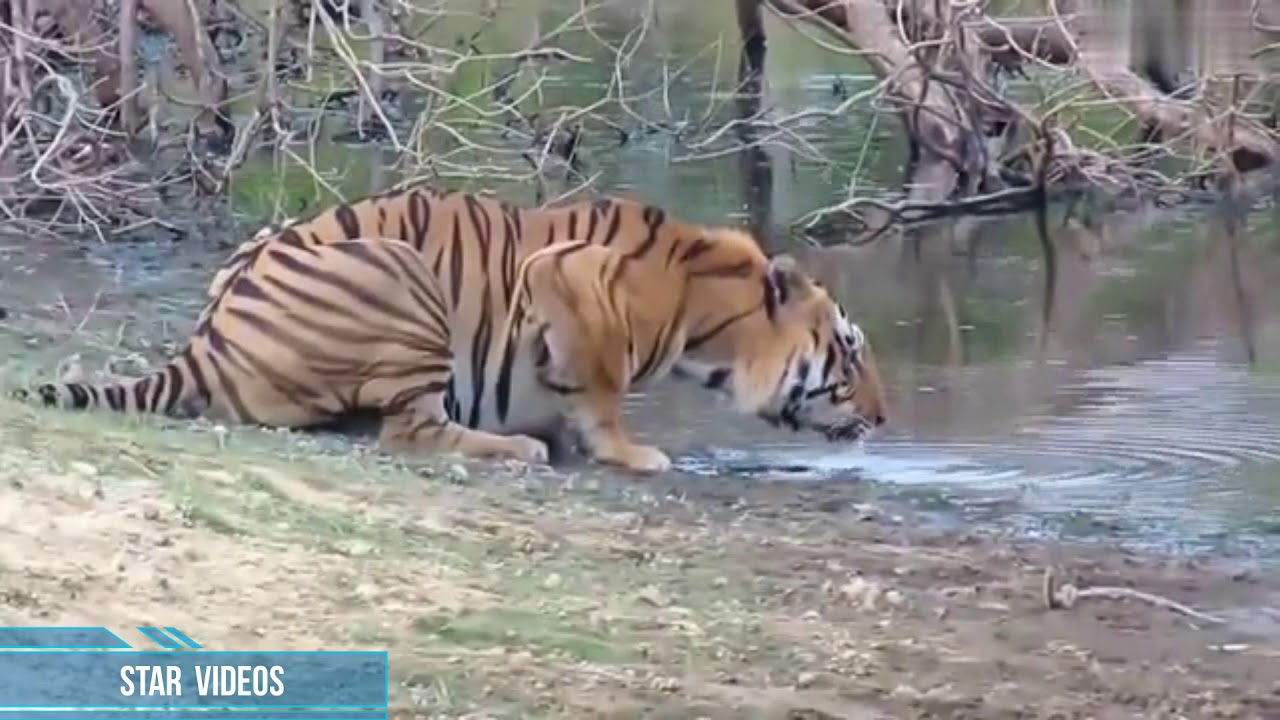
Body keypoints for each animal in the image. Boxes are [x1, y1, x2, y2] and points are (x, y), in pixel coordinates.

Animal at [20, 187, 889, 473]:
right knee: (409, 431)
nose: (885, 419)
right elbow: (604, 389)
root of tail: (205, 339)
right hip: (403, 278)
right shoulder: (568, 277)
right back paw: (519, 448)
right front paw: (629, 453)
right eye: (849, 351)